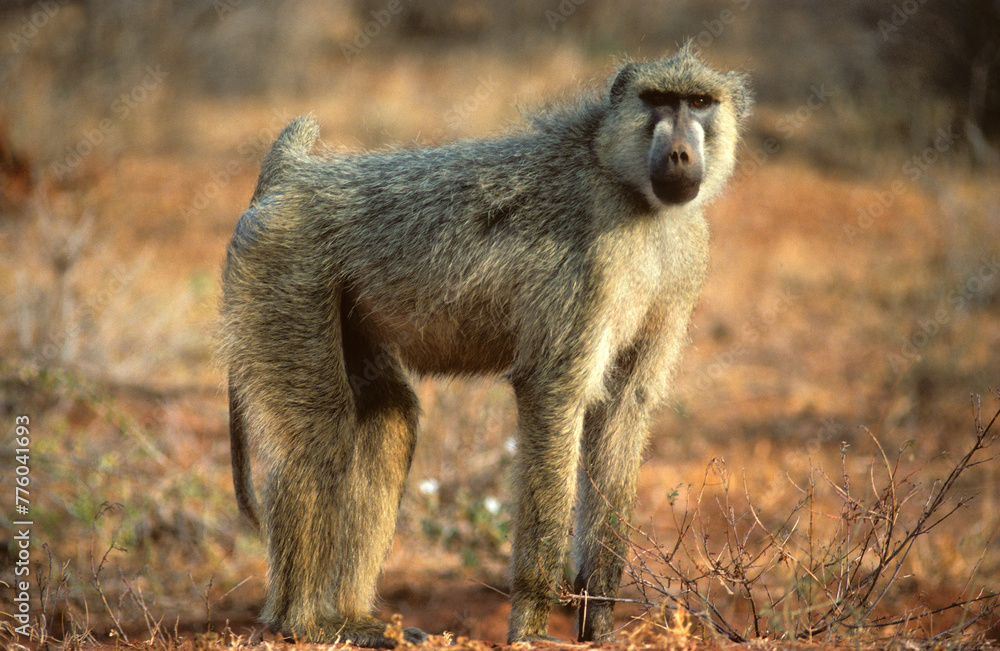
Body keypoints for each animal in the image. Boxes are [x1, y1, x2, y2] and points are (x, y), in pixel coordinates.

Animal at [218, 43, 751, 648]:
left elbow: (623, 411)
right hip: (287, 275)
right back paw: (305, 622)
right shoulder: (589, 268)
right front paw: (533, 626)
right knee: (322, 432)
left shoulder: (680, 267)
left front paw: (600, 621)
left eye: (700, 103)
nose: (681, 153)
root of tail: (294, 174)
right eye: (657, 100)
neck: (630, 191)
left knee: (389, 417)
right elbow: (554, 395)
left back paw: (352, 617)